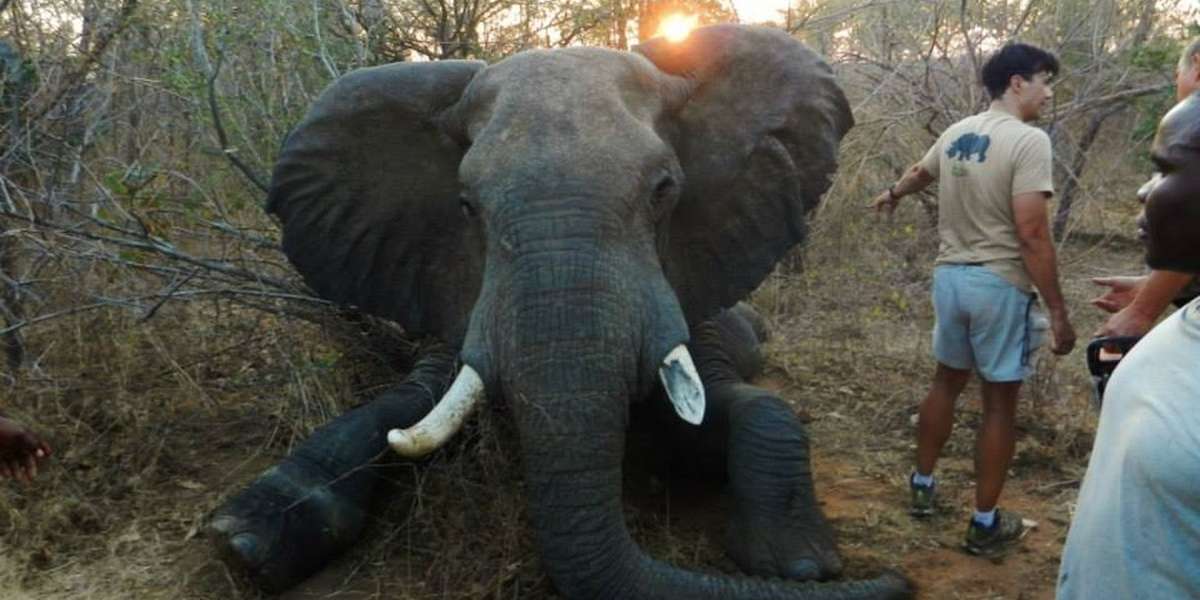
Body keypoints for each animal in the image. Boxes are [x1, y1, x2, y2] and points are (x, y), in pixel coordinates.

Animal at [208, 24, 912, 600]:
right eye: (465, 205)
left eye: (664, 191)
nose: (899, 580)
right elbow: (398, 408)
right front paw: (245, 538)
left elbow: (747, 408)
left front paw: (799, 563)